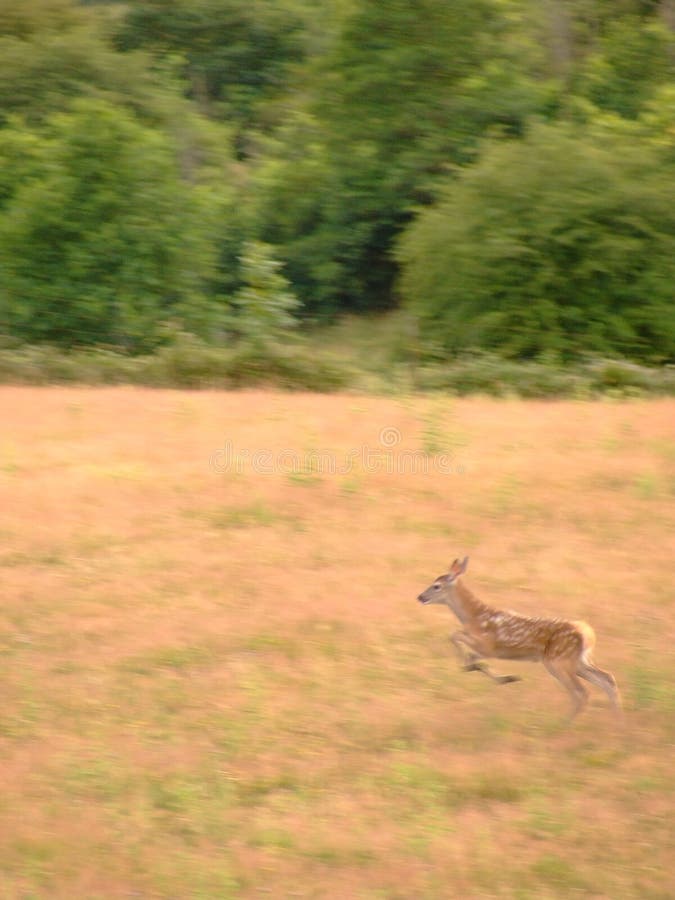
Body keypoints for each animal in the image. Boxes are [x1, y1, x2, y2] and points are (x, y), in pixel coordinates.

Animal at [417, 557, 621, 719]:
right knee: (607, 679)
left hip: (558, 661)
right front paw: (496, 674)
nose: (420, 597)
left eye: (436, 586)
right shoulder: (484, 647)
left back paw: (565, 724)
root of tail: (588, 634)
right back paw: (617, 725)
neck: (474, 617)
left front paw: (490, 672)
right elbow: (469, 652)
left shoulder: (488, 646)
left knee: (581, 692)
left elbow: (455, 636)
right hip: (578, 661)